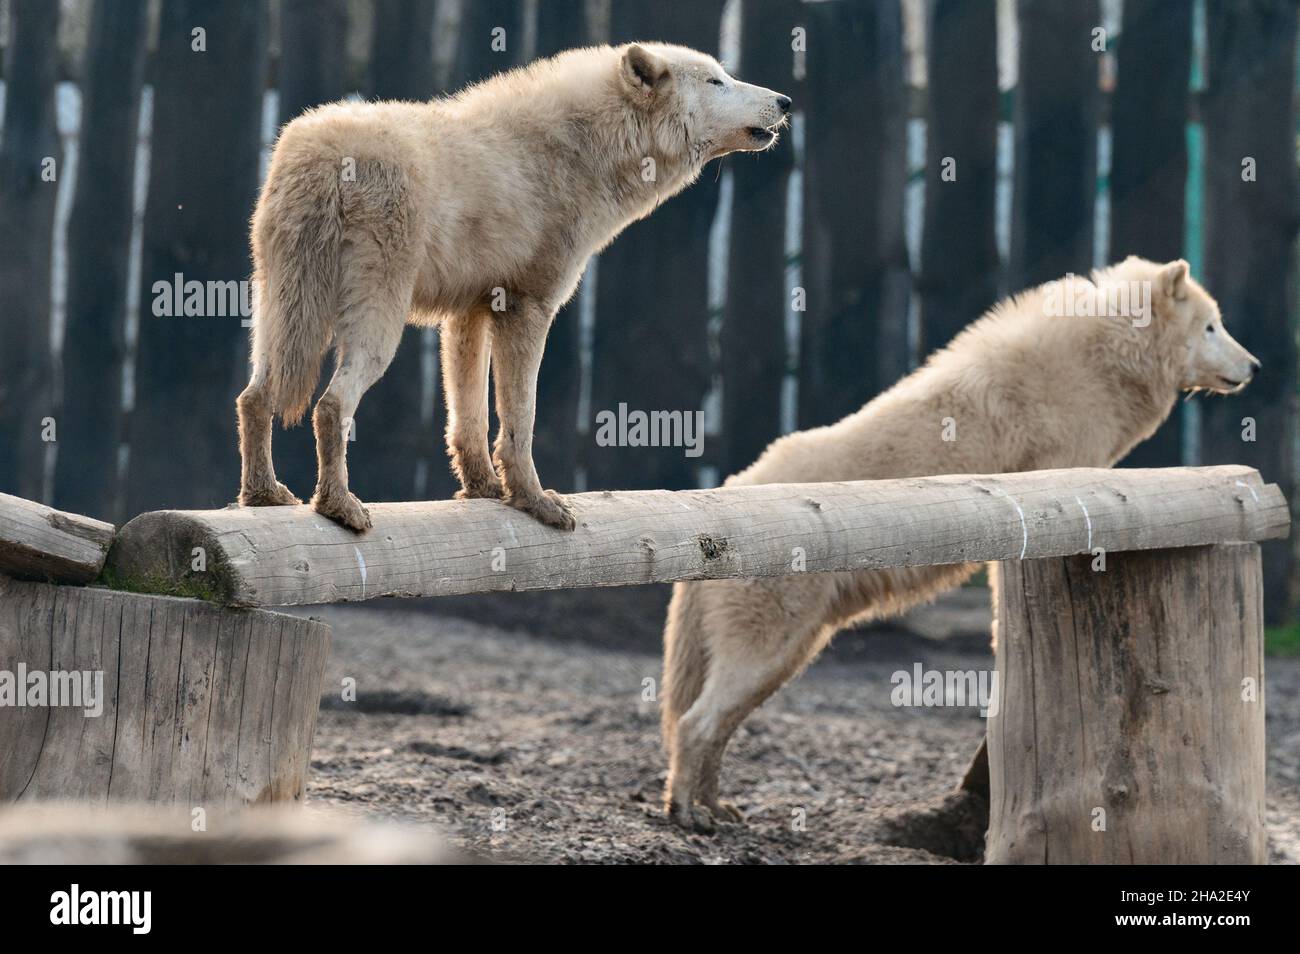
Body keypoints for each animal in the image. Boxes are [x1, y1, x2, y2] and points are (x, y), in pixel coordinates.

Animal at [237, 43, 790, 531]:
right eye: (716, 81)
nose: (785, 101)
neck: (577, 153)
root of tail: (321, 157)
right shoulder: (529, 308)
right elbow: (520, 421)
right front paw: (534, 500)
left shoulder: (467, 314)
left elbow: (469, 420)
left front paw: (482, 489)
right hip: (376, 325)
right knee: (331, 406)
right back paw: (339, 506)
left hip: (279, 310)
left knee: (254, 397)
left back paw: (264, 495)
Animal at [661, 257, 1261, 831]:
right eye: (1212, 325)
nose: (1254, 366)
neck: (1101, 358)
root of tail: (722, 500)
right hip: (771, 645)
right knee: (696, 722)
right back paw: (689, 812)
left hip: (791, 651)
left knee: (716, 724)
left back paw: (715, 806)